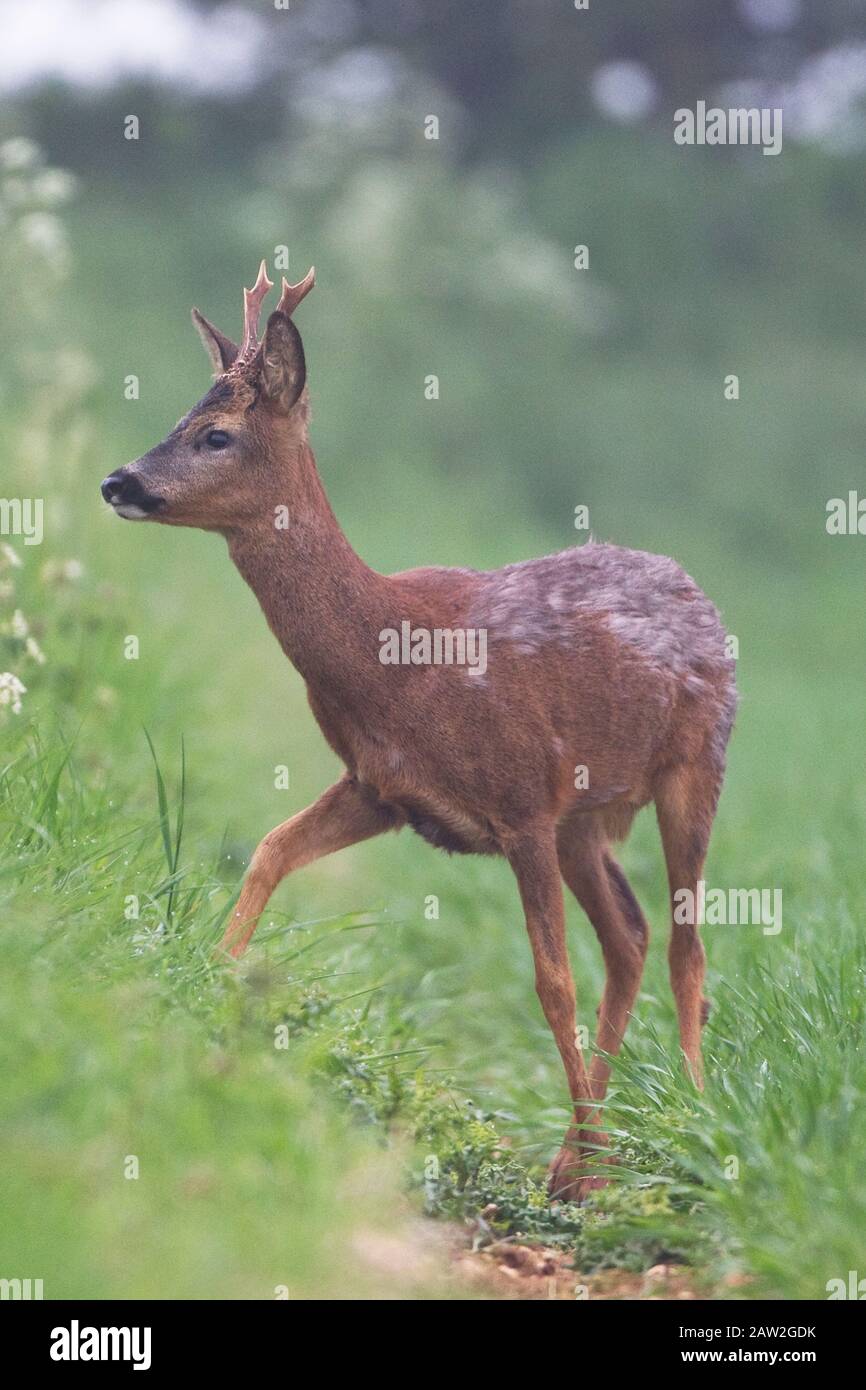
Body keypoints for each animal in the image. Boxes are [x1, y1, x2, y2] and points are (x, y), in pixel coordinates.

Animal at [101, 262, 737, 1201]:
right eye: (179, 416)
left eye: (215, 434)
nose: (118, 482)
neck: (389, 660)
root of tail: (698, 589)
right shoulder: (382, 786)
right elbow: (270, 849)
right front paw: (207, 982)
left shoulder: (520, 801)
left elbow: (551, 980)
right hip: (586, 818)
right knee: (630, 937)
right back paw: (579, 1158)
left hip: (697, 761)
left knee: (684, 947)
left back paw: (680, 1120)